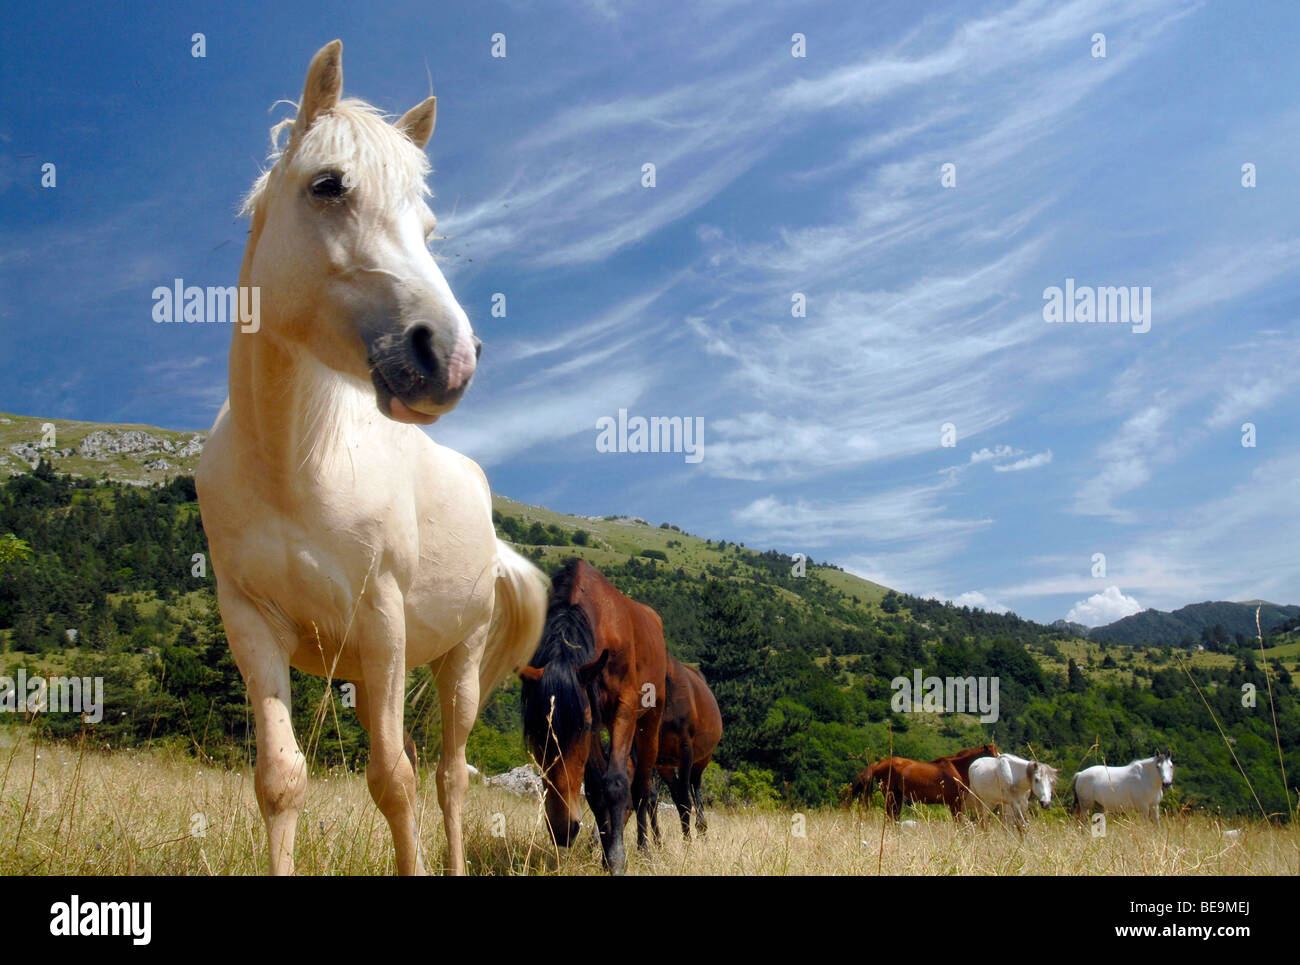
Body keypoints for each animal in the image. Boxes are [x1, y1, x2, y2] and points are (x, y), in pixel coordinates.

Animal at [196, 40, 549, 876]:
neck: (292, 464)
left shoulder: (383, 618)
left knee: (449, 776)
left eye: (427, 224)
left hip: (457, 661)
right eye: (328, 184)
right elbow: (281, 779)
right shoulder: (250, 623)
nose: (450, 356)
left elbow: (395, 782)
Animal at [520, 559, 667, 874]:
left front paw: (618, 859)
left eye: (583, 726)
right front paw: (606, 853)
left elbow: (616, 783)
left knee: (643, 789)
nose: (562, 829)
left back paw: (646, 849)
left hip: (650, 721)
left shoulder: (621, 709)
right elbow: (597, 787)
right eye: (534, 732)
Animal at [646, 655, 723, 840]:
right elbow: (651, 798)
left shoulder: (686, 750)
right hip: (665, 764)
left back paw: (701, 829)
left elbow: (685, 800)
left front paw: (687, 842)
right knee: (675, 791)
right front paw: (657, 842)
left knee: (695, 786)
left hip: (702, 758)